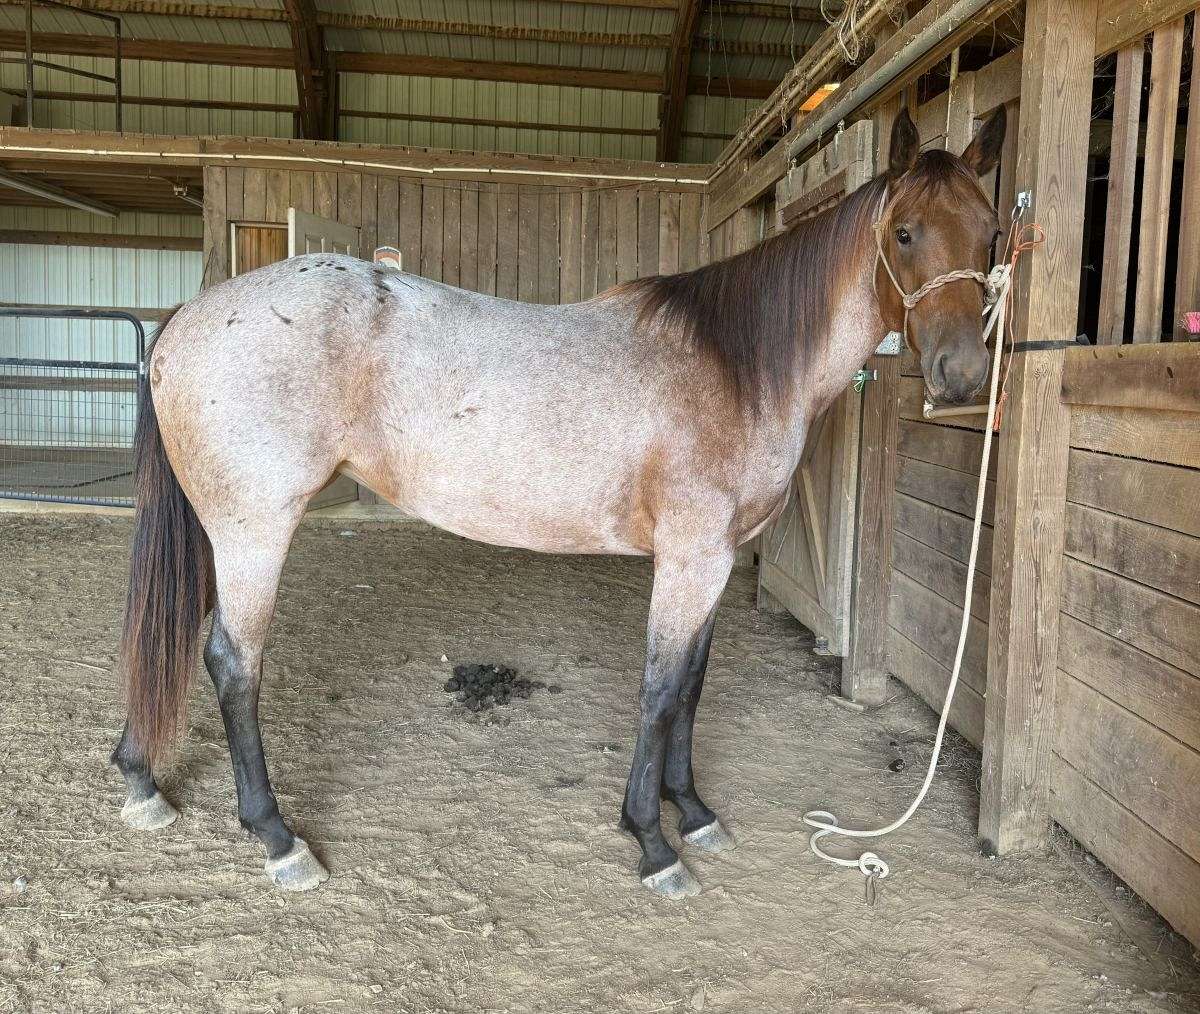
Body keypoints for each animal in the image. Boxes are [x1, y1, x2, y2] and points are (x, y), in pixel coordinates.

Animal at [112, 107, 1006, 900]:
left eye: (993, 232)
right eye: (904, 233)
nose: (962, 377)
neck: (734, 367)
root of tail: (190, 317)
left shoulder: (712, 563)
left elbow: (693, 683)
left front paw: (694, 811)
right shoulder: (690, 559)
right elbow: (660, 689)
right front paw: (654, 843)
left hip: (218, 530)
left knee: (172, 632)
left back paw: (142, 782)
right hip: (254, 531)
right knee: (233, 663)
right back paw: (277, 837)